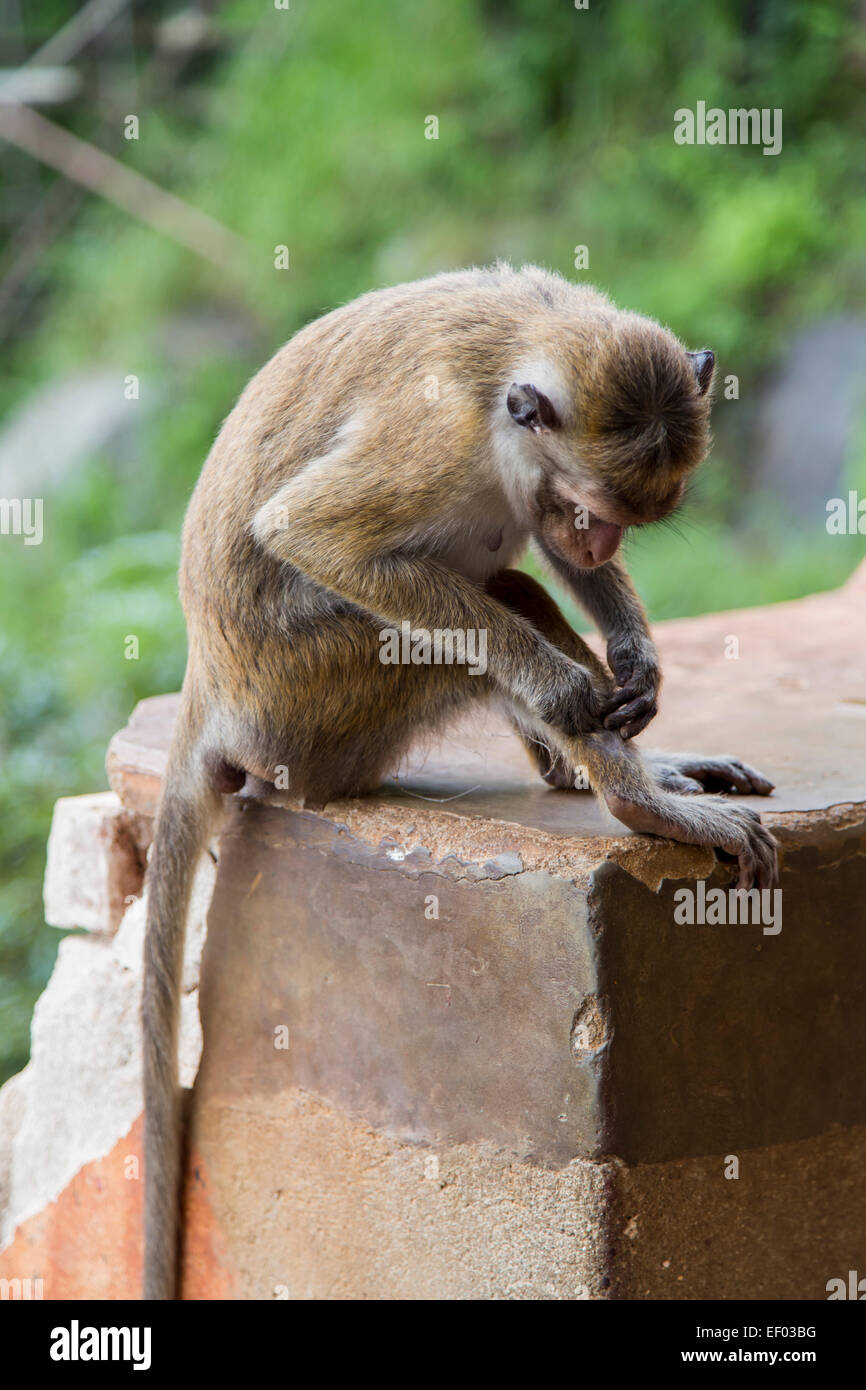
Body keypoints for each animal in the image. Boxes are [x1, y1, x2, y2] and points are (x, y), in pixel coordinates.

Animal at [142, 262, 778, 1298]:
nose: (602, 546)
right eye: (589, 508)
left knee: (508, 585)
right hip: (315, 698)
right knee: (480, 605)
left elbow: (545, 571)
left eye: (620, 519)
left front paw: (635, 662)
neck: (524, 348)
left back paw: (615, 772)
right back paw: (632, 794)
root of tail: (215, 693)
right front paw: (574, 693)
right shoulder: (436, 442)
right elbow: (310, 535)